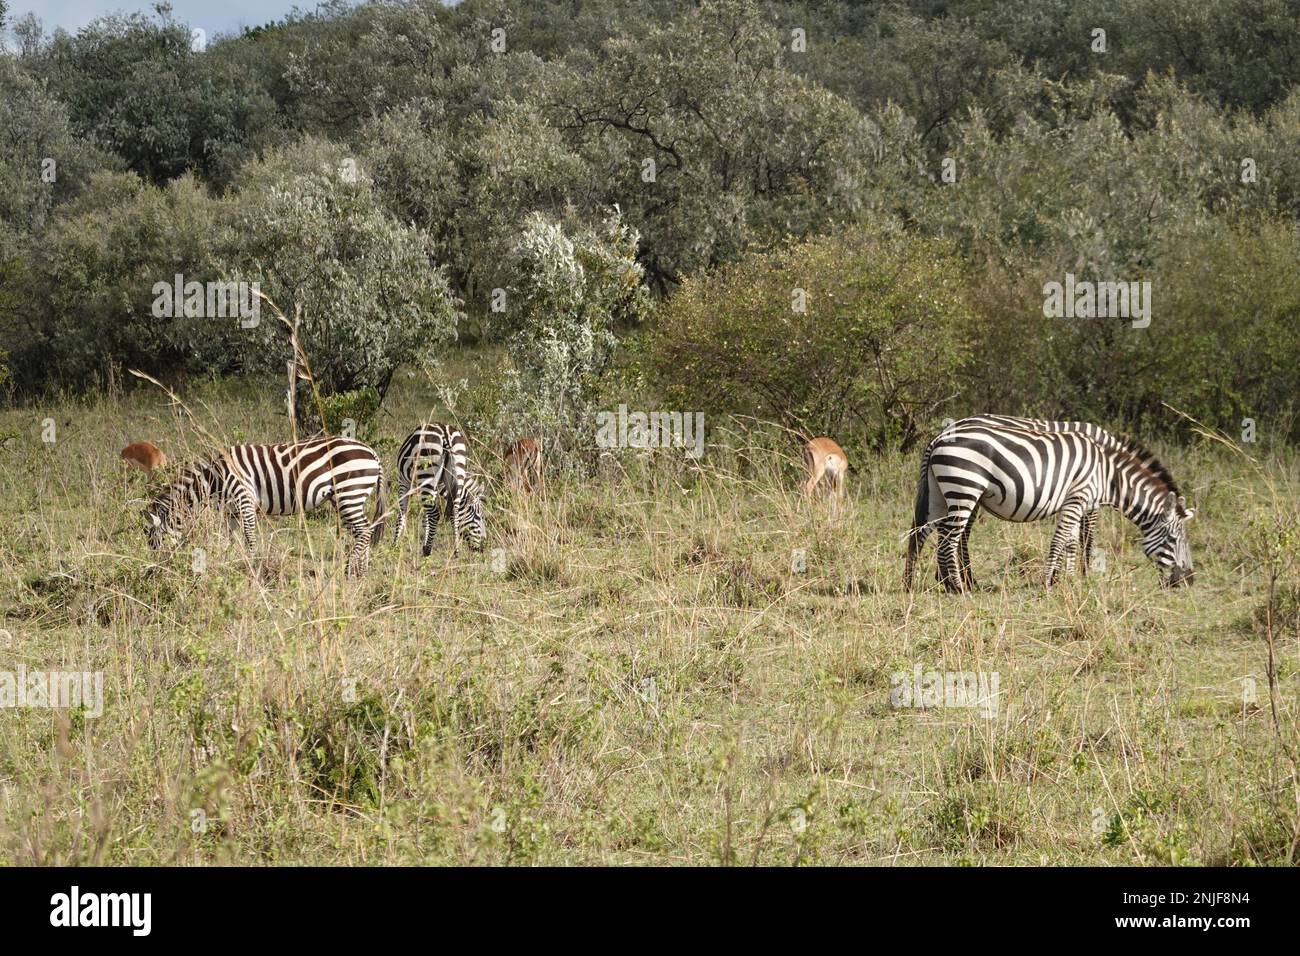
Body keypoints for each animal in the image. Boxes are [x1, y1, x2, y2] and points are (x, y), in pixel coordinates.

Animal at [143, 436, 387, 576]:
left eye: (154, 541)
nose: (155, 570)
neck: (215, 479)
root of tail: (372, 452)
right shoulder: (231, 511)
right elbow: (229, 540)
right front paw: (227, 563)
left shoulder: (245, 500)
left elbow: (249, 537)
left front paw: (252, 569)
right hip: (347, 497)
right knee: (364, 530)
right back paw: (361, 573)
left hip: (350, 492)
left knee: (365, 530)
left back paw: (348, 570)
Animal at [393, 423, 487, 554]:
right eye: (479, 517)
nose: (481, 549)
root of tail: (446, 435)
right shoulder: (432, 487)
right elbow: (421, 517)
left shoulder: (404, 481)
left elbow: (403, 512)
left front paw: (395, 545)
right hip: (457, 468)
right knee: (454, 512)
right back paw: (456, 550)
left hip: (426, 472)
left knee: (435, 515)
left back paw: (427, 550)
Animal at [904, 420, 1194, 592]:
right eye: (1173, 539)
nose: (1188, 580)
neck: (1107, 473)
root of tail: (939, 438)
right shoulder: (1078, 497)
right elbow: (1063, 540)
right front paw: (1050, 582)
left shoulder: (1076, 503)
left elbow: (1070, 542)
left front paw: (1067, 580)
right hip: (965, 487)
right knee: (948, 540)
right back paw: (957, 588)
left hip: (940, 492)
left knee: (921, 534)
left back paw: (911, 584)